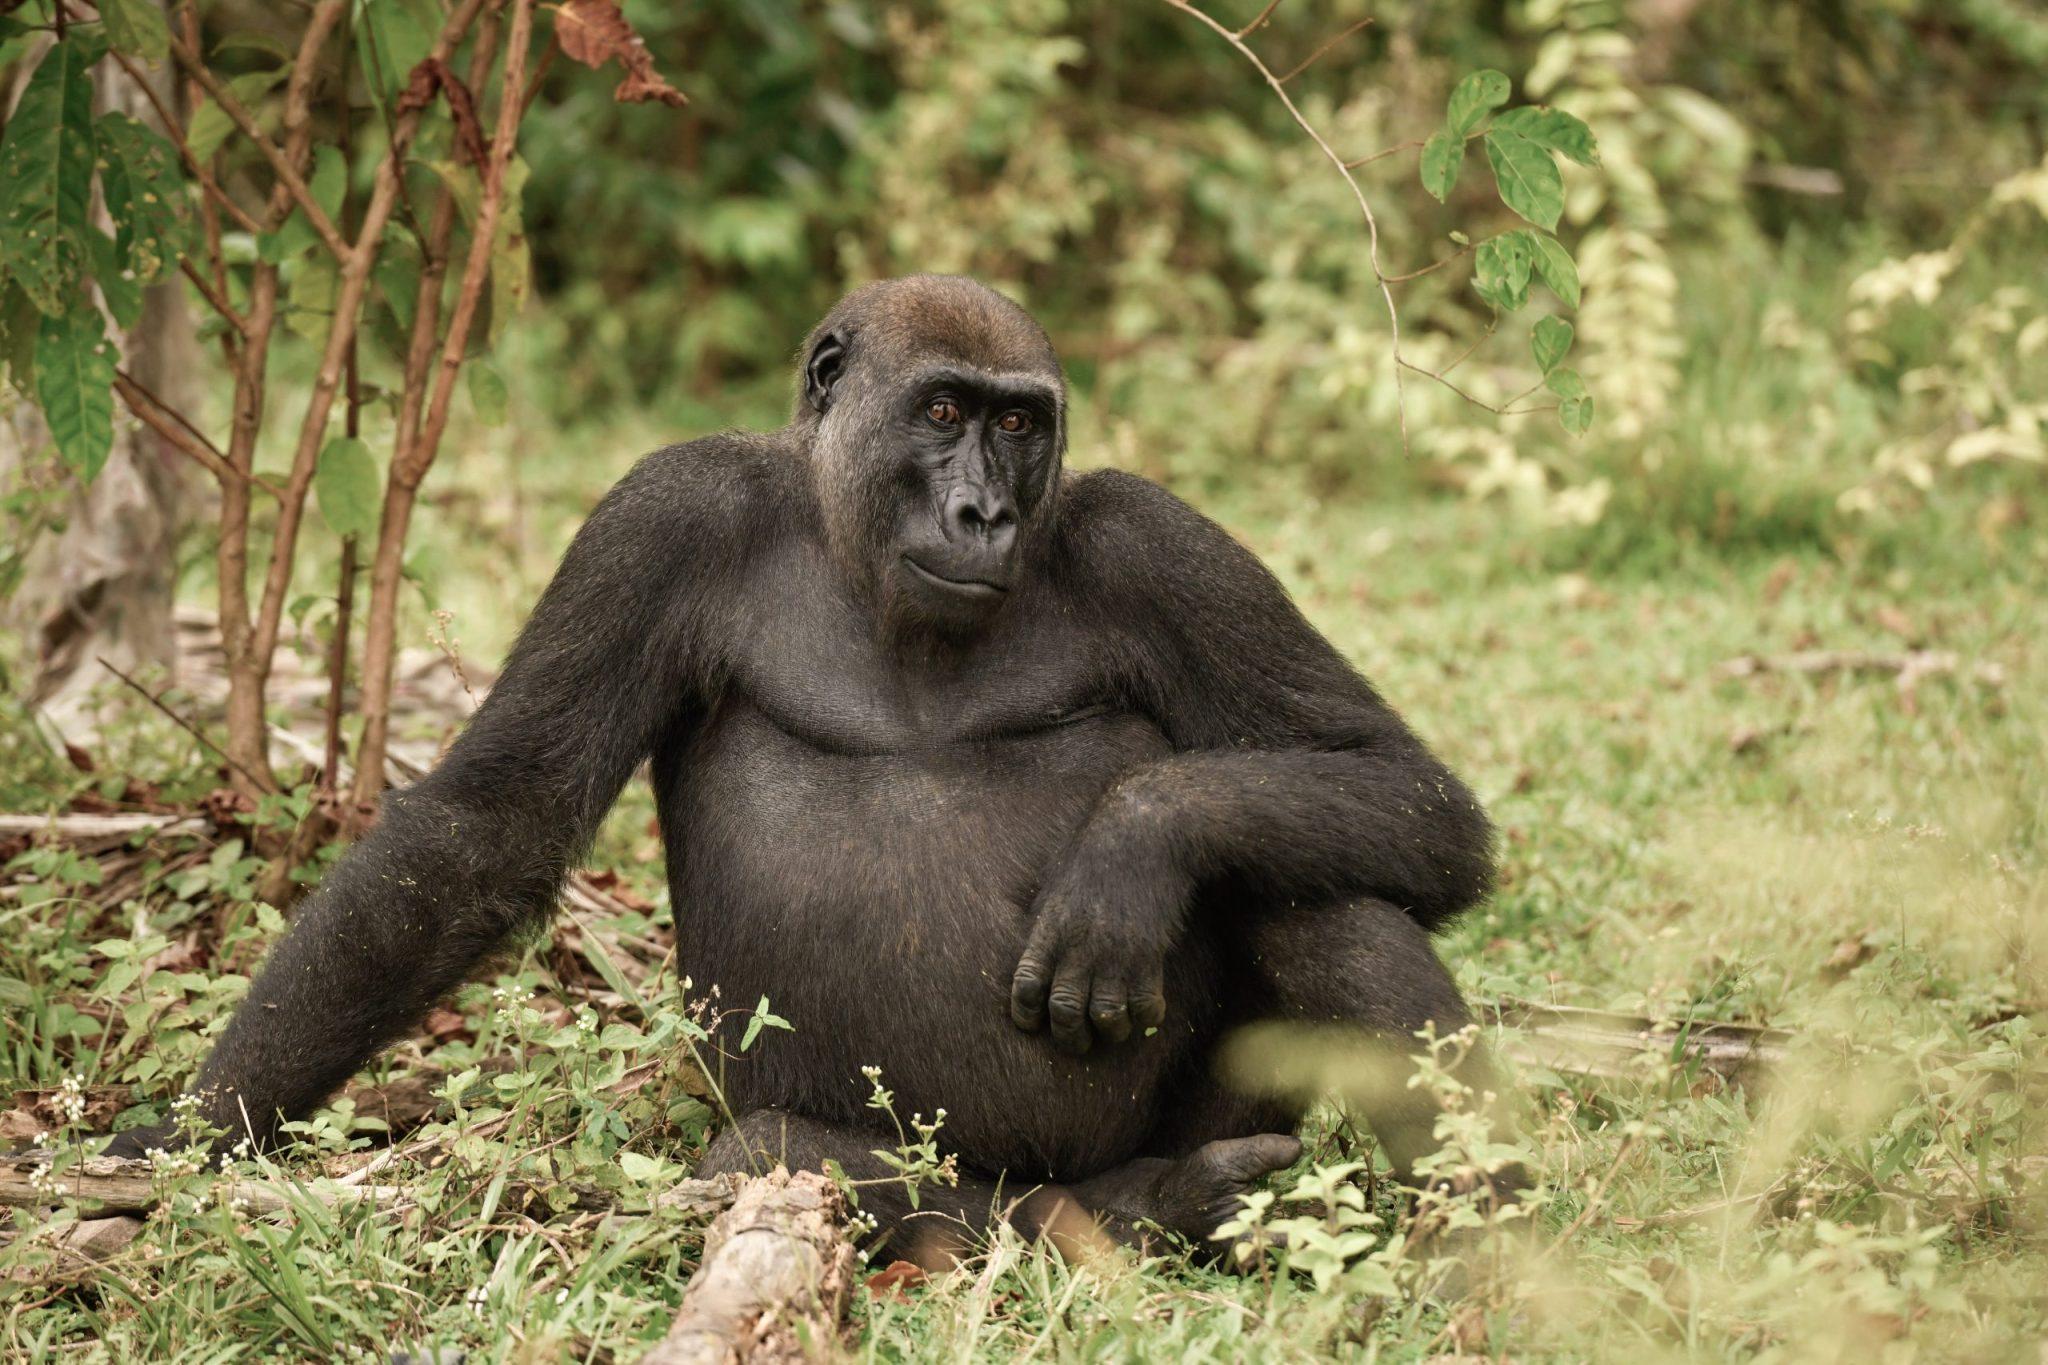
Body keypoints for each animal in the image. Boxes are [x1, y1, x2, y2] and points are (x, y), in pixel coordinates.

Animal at [106, 275, 1505, 1262]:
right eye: (940, 412)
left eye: (1018, 424)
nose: (983, 514)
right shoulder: (657, 516)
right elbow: (485, 830)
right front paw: (197, 1135)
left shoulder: (1152, 540)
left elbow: (1403, 790)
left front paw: (1132, 844)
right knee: (778, 1157)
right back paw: (1144, 1207)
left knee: (1307, 876)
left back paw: (1478, 1245)